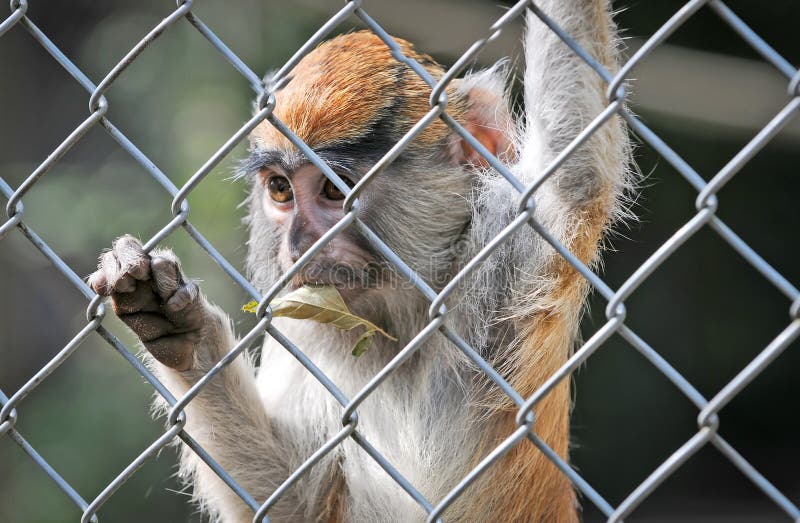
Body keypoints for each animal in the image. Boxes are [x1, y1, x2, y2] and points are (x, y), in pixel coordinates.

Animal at [88, 1, 631, 521]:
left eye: (335, 190)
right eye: (280, 189)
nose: (299, 244)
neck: (404, 323)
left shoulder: (505, 257)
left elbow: (572, 178)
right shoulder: (307, 323)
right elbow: (298, 508)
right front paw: (178, 324)